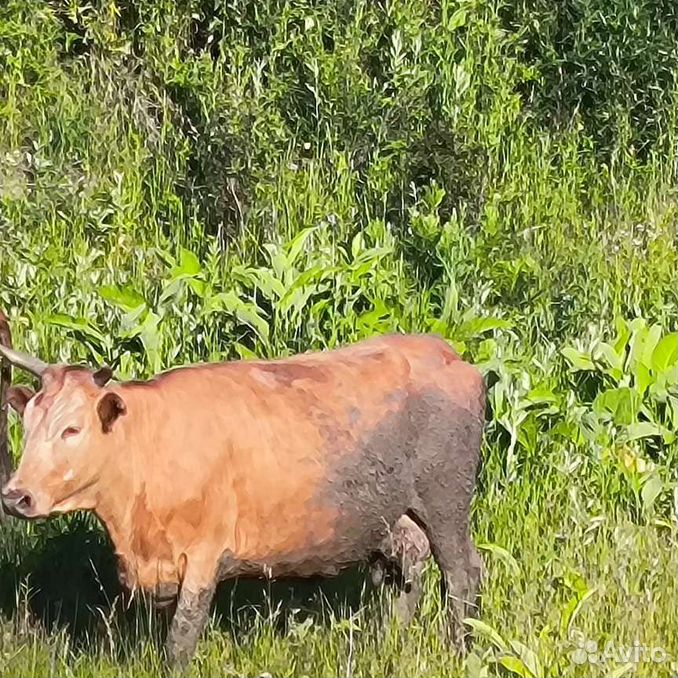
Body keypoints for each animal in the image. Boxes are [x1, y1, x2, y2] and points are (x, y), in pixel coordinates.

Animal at [0, 332, 488, 672]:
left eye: (72, 428)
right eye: (27, 422)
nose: (15, 495)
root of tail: (450, 355)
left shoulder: (203, 554)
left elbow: (181, 637)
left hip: (445, 498)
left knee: (462, 572)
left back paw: (459, 647)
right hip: (391, 512)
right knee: (408, 564)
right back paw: (388, 642)